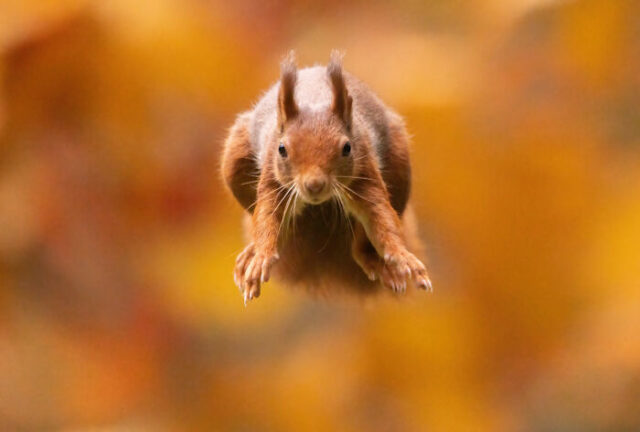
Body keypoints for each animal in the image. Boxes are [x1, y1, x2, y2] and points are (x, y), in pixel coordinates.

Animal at [221, 51, 432, 304]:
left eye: (347, 148)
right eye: (282, 149)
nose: (314, 185)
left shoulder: (364, 172)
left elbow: (381, 218)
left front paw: (403, 257)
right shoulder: (273, 179)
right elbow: (267, 218)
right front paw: (261, 256)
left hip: (399, 168)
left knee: (364, 241)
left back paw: (374, 260)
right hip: (234, 160)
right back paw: (254, 251)